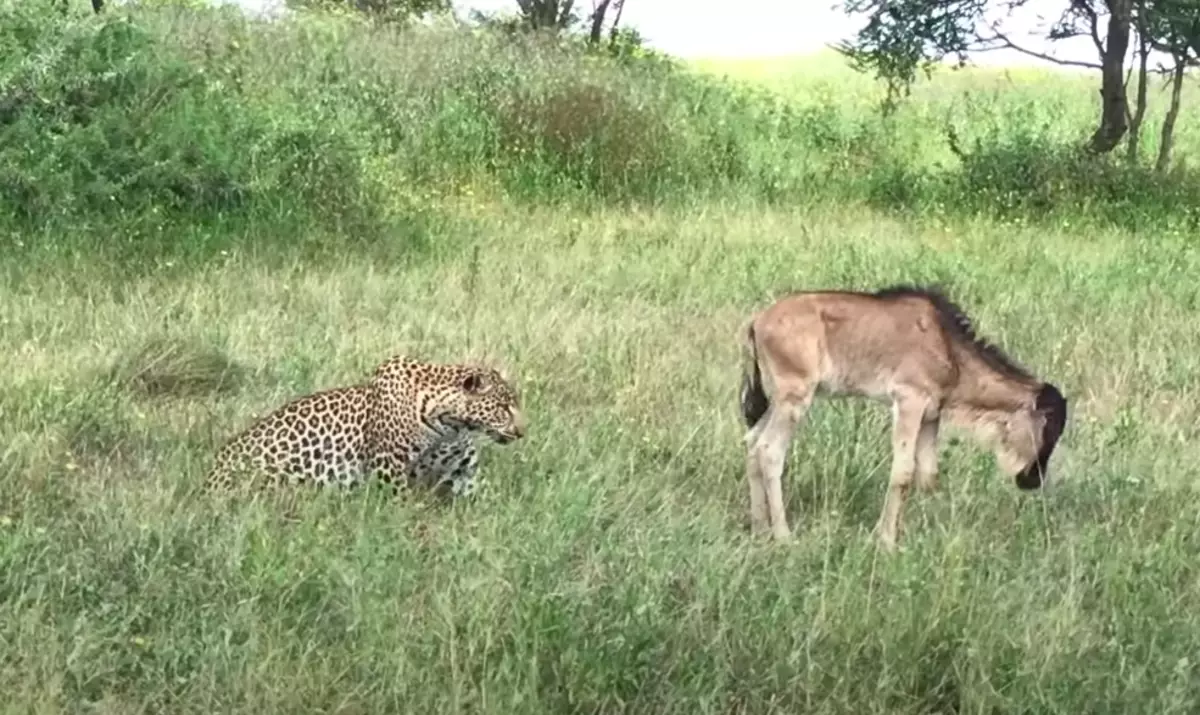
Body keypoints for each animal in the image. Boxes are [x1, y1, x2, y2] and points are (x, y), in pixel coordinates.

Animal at [205, 355, 525, 499]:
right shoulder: (388, 467)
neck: (451, 426)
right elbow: (403, 504)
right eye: (503, 408)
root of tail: (208, 478)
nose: (523, 432)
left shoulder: (464, 472)